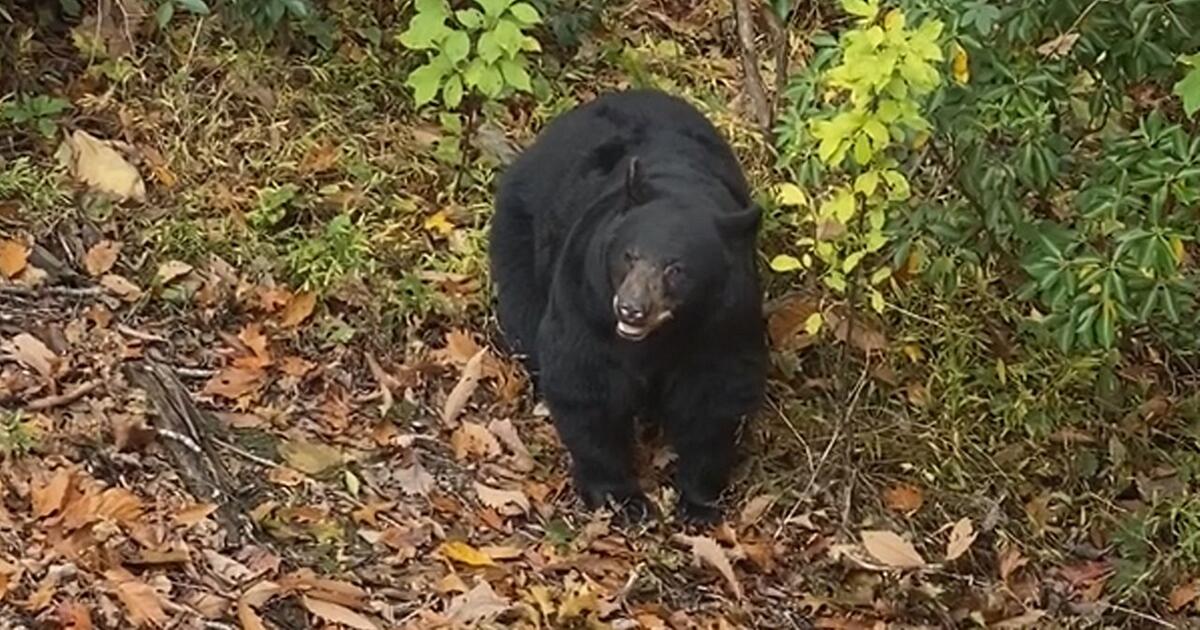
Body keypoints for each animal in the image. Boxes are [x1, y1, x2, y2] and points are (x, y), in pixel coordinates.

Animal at [489, 89, 767, 524]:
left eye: (676, 269)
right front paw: (620, 496)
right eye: (629, 255)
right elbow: (584, 378)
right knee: (524, 315)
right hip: (521, 234)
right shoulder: (586, 295)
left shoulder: (726, 316)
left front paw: (699, 499)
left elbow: (715, 390)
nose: (631, 309)